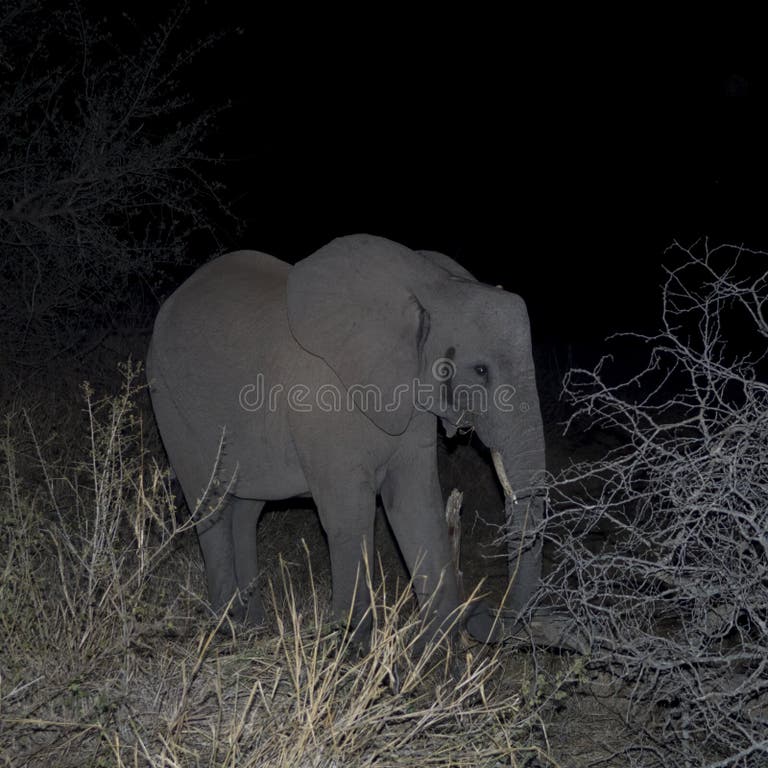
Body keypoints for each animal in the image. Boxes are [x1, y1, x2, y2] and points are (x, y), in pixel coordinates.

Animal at [146, 234, 545, 643]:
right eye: (481, 370)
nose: (483, 612)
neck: (431, 286)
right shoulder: (322, 405)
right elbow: (349, 517)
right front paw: (352, 646)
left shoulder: (410, 400)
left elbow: (416, 505)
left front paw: (434, 649)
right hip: (169, 397)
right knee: (209, 501)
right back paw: (224, 629)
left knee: (246, 508)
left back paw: (252, 625)